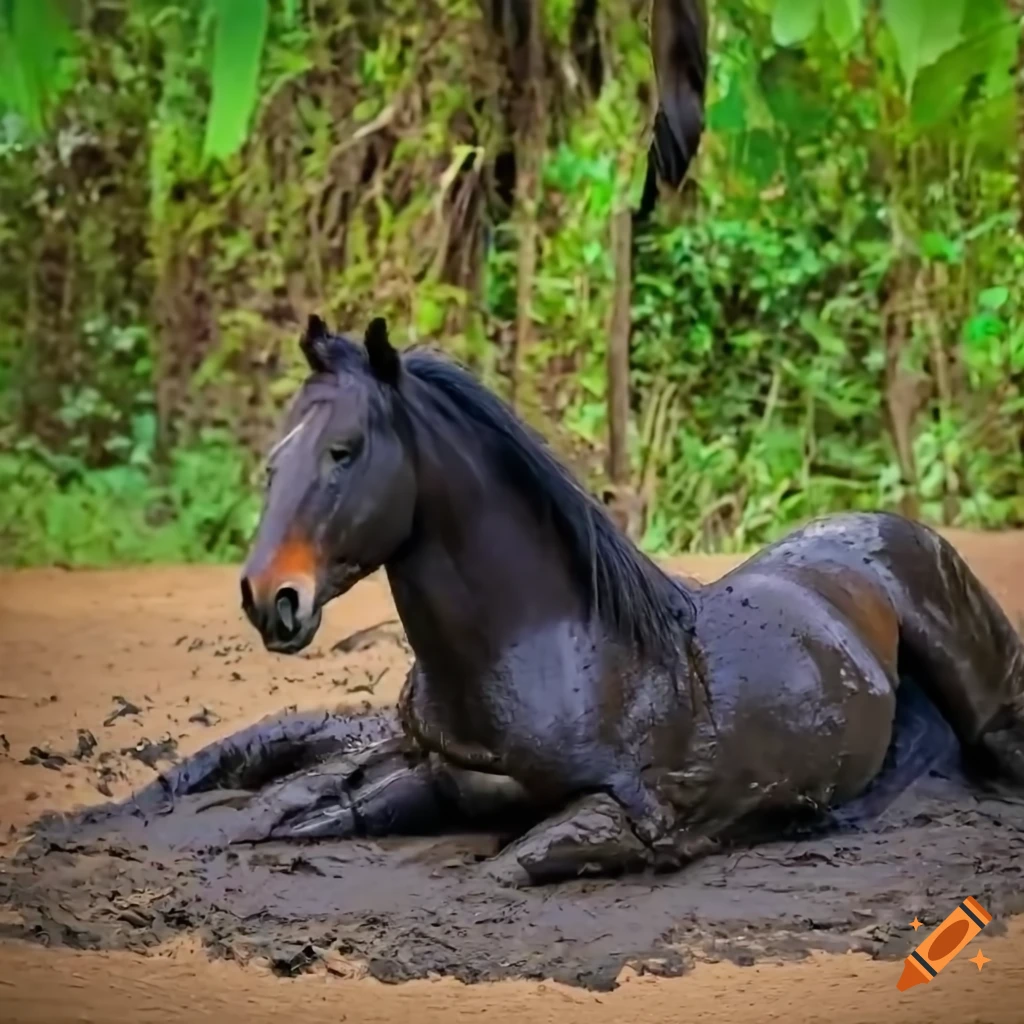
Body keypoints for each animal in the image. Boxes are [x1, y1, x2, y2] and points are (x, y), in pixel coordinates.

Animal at [151, 314, 1024, 886]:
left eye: (344, 451)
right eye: (275, 460)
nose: (270, 599)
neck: (559, 654)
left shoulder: (625, 818)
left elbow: (489, 876)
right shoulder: (438, 776)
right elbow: (311, 815)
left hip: (986, 702)